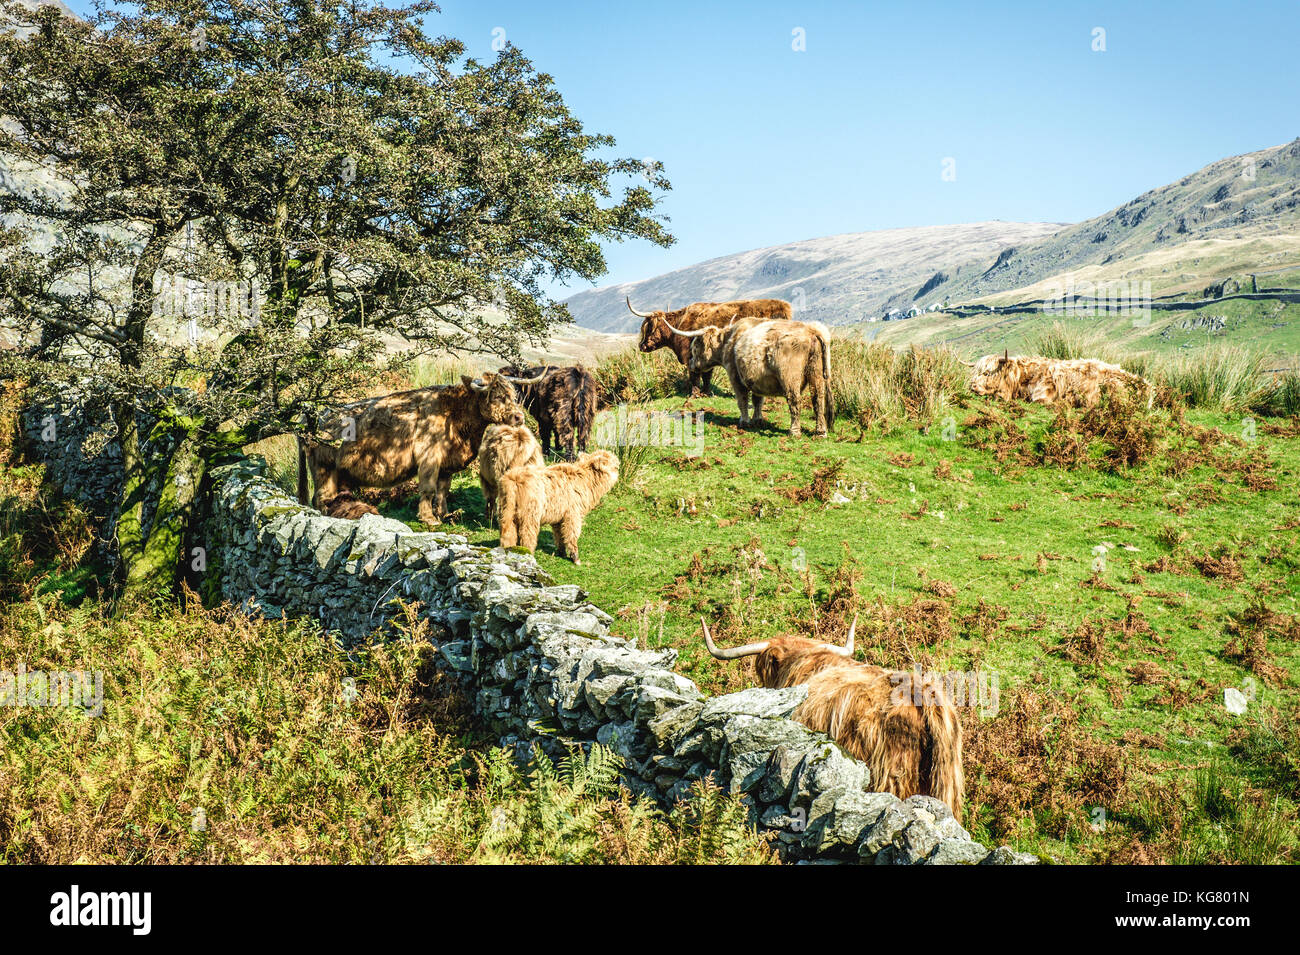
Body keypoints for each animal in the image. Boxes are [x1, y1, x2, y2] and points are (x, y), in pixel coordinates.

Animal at [296, 371, 542, 527]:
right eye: (497, 396)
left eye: (513, 396)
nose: (518, 417)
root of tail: (313, 414)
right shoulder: (429, 458)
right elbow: (428, 488)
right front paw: (428, 518)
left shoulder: (446, 463)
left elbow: (443, 490)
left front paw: (443, 514)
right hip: (323, 467)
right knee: (322, 496)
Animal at [626, 297, 793, 396]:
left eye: (648, 328)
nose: (641, 346)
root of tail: (783, 306)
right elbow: (706, 376)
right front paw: (706, 393)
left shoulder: (690, 356)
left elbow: (695, 376)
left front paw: (694, 394)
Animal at [666, 315, 834, 437]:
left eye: (695, 346)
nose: (690, 363)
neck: (728, 341)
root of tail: (812, 330)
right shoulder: (757, 380)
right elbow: (757, 400)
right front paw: (757, 420)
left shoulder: (735, 377)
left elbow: (742, 400)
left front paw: (744, 421)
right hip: (816, 374)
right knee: (818, 399)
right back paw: (820, 432)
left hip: (790, 377)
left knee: (794, 401)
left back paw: (794, 431)